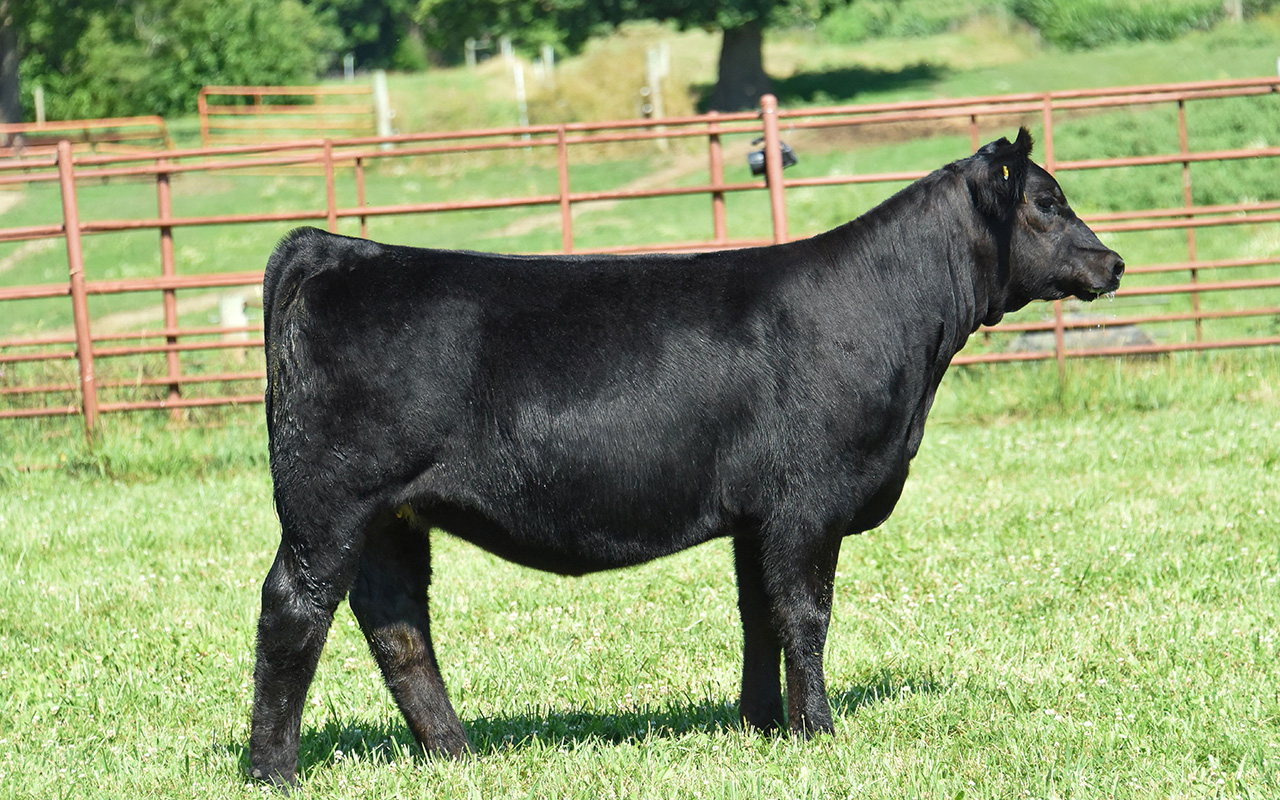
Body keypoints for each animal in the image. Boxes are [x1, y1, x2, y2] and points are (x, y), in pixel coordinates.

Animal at [248, 128, 1123, 786]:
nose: (1113, 263)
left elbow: (758, 614)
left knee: (397, 626)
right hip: (331, 505)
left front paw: (762, 726)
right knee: (294, 611)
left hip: (392, 516)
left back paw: (457, 754)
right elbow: (805, 614)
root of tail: (333, 248)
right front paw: (817, 732)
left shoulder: (756, 513)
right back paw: (273, 770)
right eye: (1047, 203)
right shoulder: (809, 501)